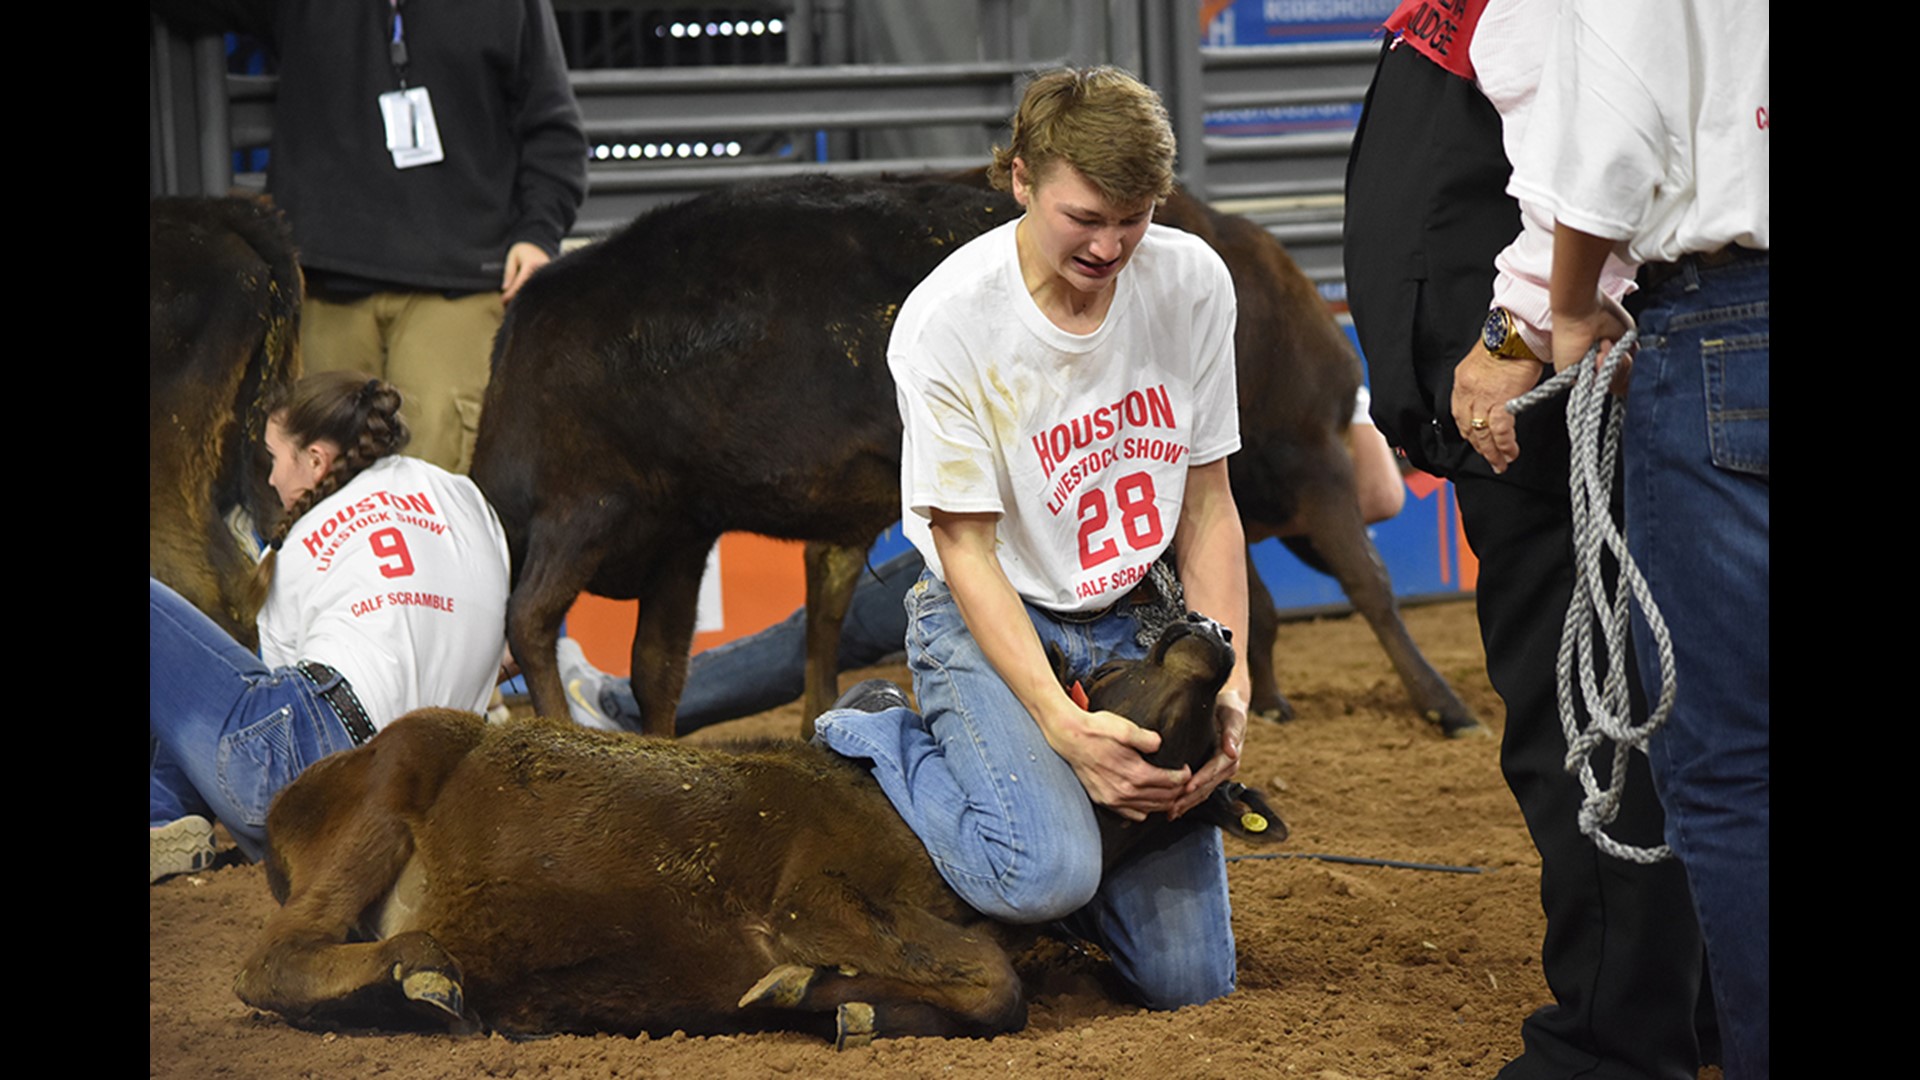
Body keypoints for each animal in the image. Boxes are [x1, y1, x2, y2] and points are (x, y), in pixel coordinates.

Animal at [233, 615, 1283, 1044]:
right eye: (1105, 675)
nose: (1210, 631)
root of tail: (296, 795)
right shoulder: (813, 899)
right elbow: (992, 984)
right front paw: (804, 989)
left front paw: (843, 1006)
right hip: (393, 782)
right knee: (272, 960)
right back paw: (420, 972)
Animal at [470, 173, 1480, 740]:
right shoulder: (1312, 460)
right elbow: (1367, 583)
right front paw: (1444, 703)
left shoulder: (684, 533)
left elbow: (665, 661)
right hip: (588, 507)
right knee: (530, 616)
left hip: (635, 516)